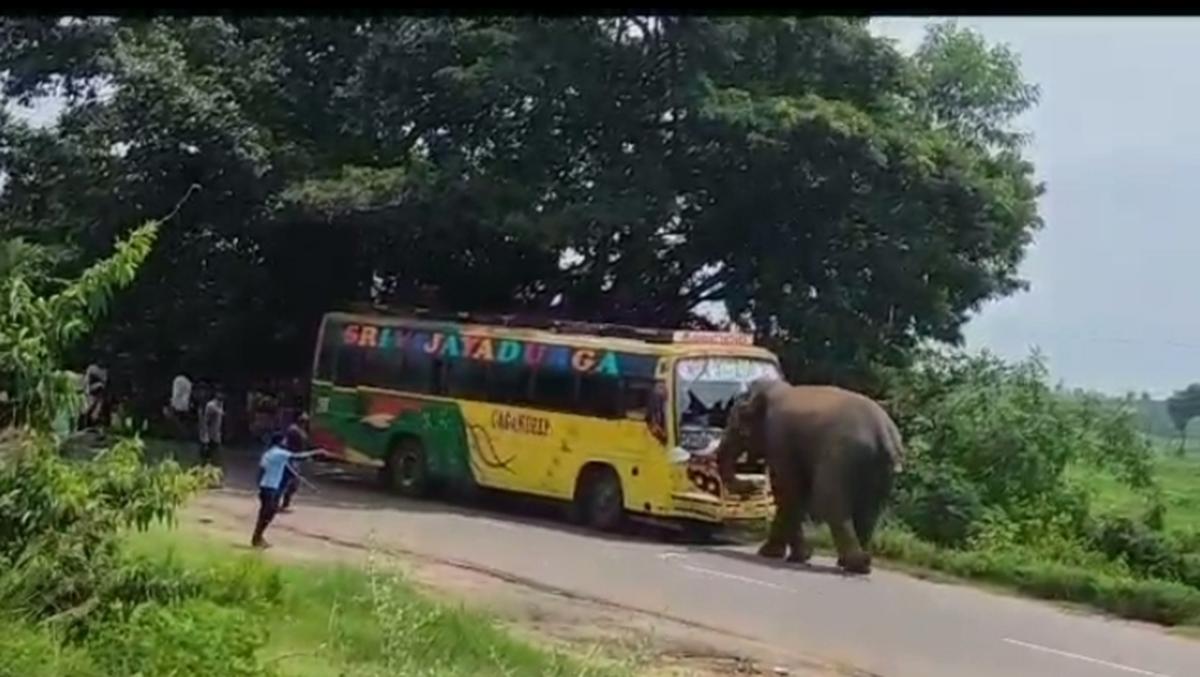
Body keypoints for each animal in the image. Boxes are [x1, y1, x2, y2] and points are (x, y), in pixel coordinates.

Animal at [715, 378, 904, 574]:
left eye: (737, 428)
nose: (754, 483)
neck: (775, 389)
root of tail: (884, 434)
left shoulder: (778, 439)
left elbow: (787, 490)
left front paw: (777, 555)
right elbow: (796, 491)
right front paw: (798, 556)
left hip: (842, 457)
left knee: (829, 501)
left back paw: (855, 564)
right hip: (879, 468)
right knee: (869, 511)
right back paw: (856, 564)